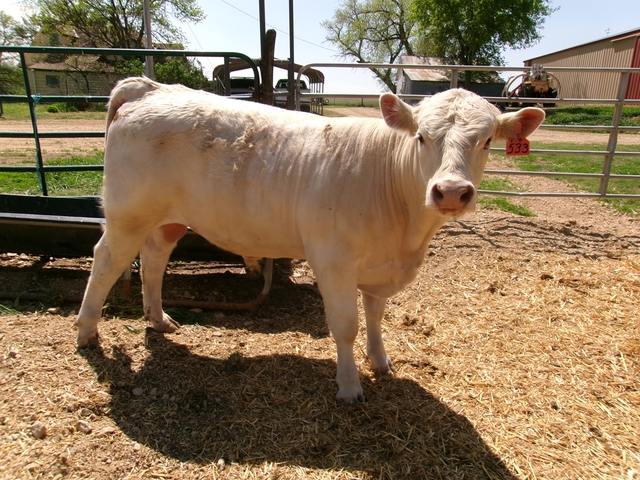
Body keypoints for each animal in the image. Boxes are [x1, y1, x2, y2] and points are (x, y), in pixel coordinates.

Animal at [76, 77, 544, 404]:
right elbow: (347, 325)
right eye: (421, 137)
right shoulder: (333, 260)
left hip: (169, 219)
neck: (406, 236)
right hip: (128, 214)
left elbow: (375, 317)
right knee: (107, 260)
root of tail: (152, 89)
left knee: (155, 257)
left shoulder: (379, 266)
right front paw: (350, 385)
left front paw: (381, 362)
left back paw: (159, 319)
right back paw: (87, 331)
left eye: (487, 140)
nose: (449, 192)